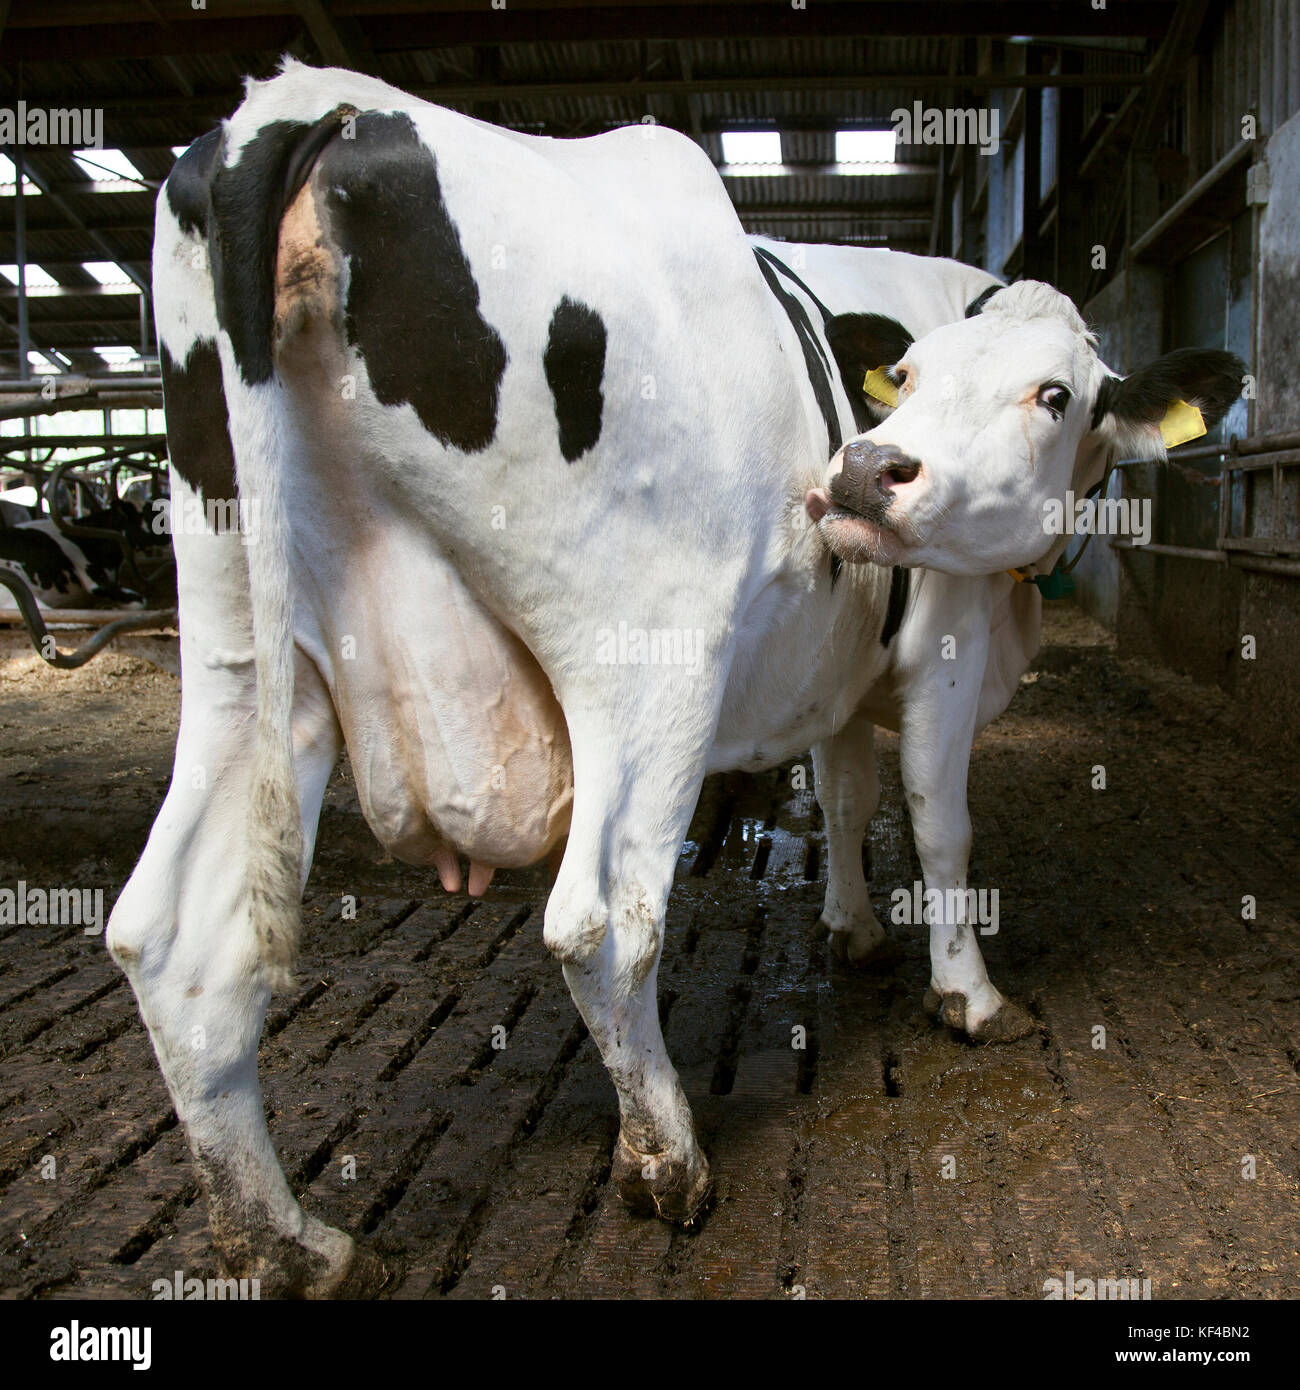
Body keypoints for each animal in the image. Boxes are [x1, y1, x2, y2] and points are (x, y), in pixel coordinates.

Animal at [106, 59, 1243, 1296]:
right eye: (909, 379)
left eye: (1053, 394)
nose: (863, 468)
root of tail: (310, 102)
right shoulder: (942, 630)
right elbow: (939, 823)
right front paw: (971, 996)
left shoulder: (836, 661)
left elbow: (845, 791)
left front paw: (851, 928)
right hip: (648, 660)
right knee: (601, 921)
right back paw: (668, 1161)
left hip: (246, 644)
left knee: (172, 938)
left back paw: (289, 1242)